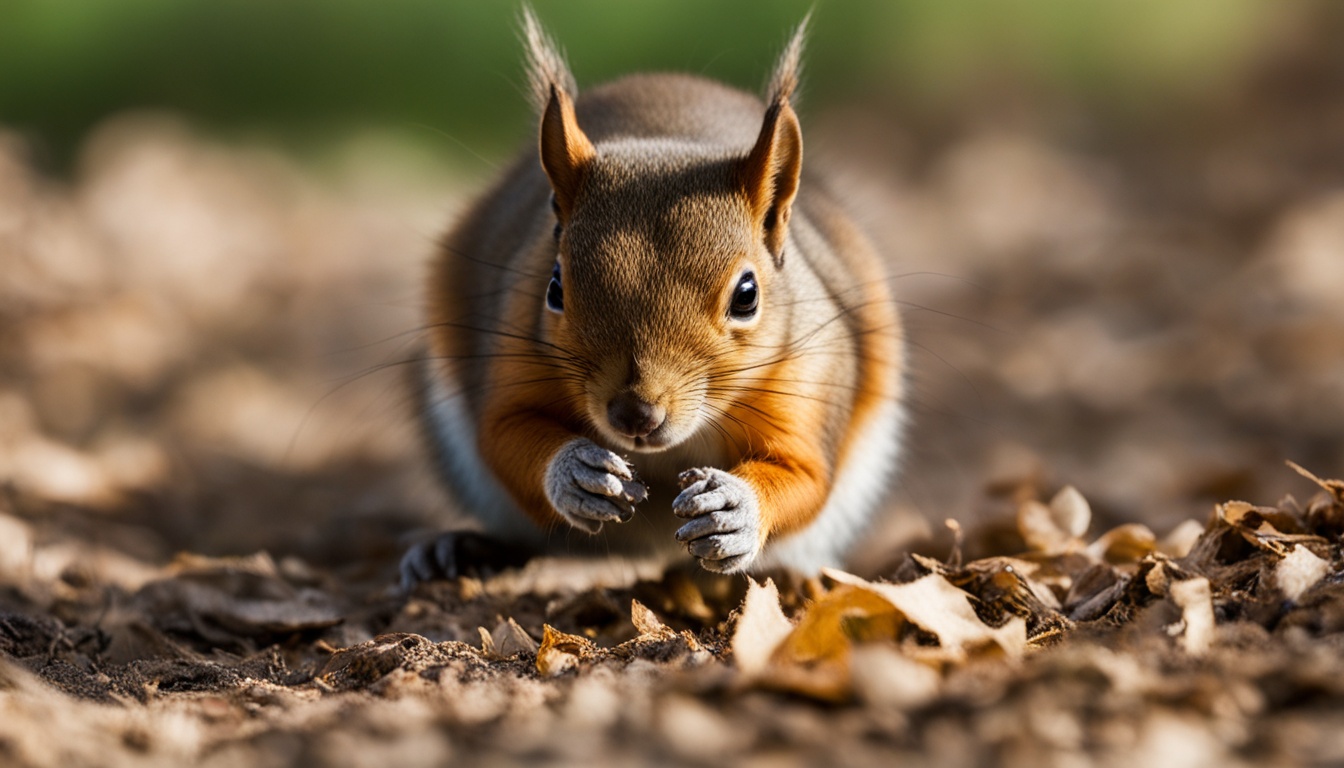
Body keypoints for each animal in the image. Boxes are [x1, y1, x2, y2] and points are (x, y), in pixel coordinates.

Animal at [401, 9, 905, 589]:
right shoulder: (515, 352)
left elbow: (805, 474)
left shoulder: (812, 374)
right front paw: (576, 471)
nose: (634, 413)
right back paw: (457, 549)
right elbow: (505, 434)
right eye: (555, 288)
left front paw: (736, 509)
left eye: (747, 296)